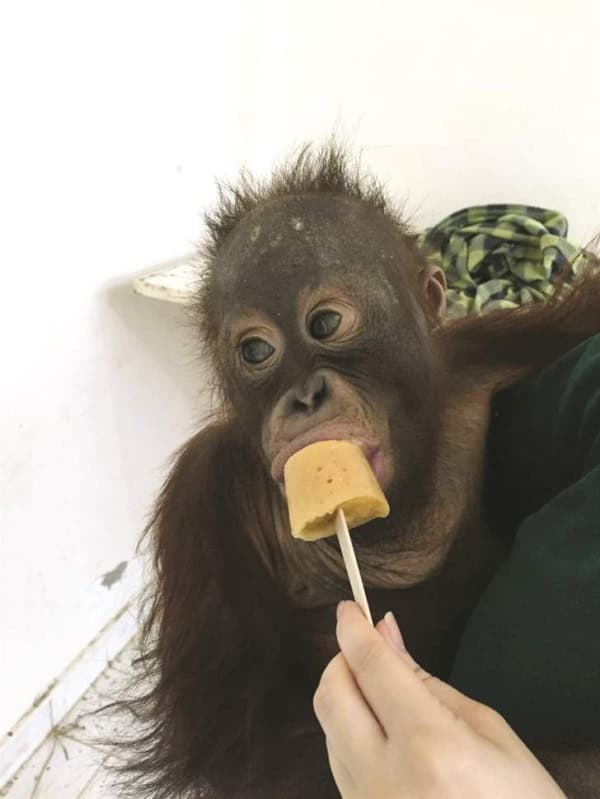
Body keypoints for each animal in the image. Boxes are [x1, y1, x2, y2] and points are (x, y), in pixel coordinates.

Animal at [110, 143, 600, 798]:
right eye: (256, 352)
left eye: (324, 324)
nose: (303, 397)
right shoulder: (198, 505)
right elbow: (239, 744)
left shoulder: (502, 345)